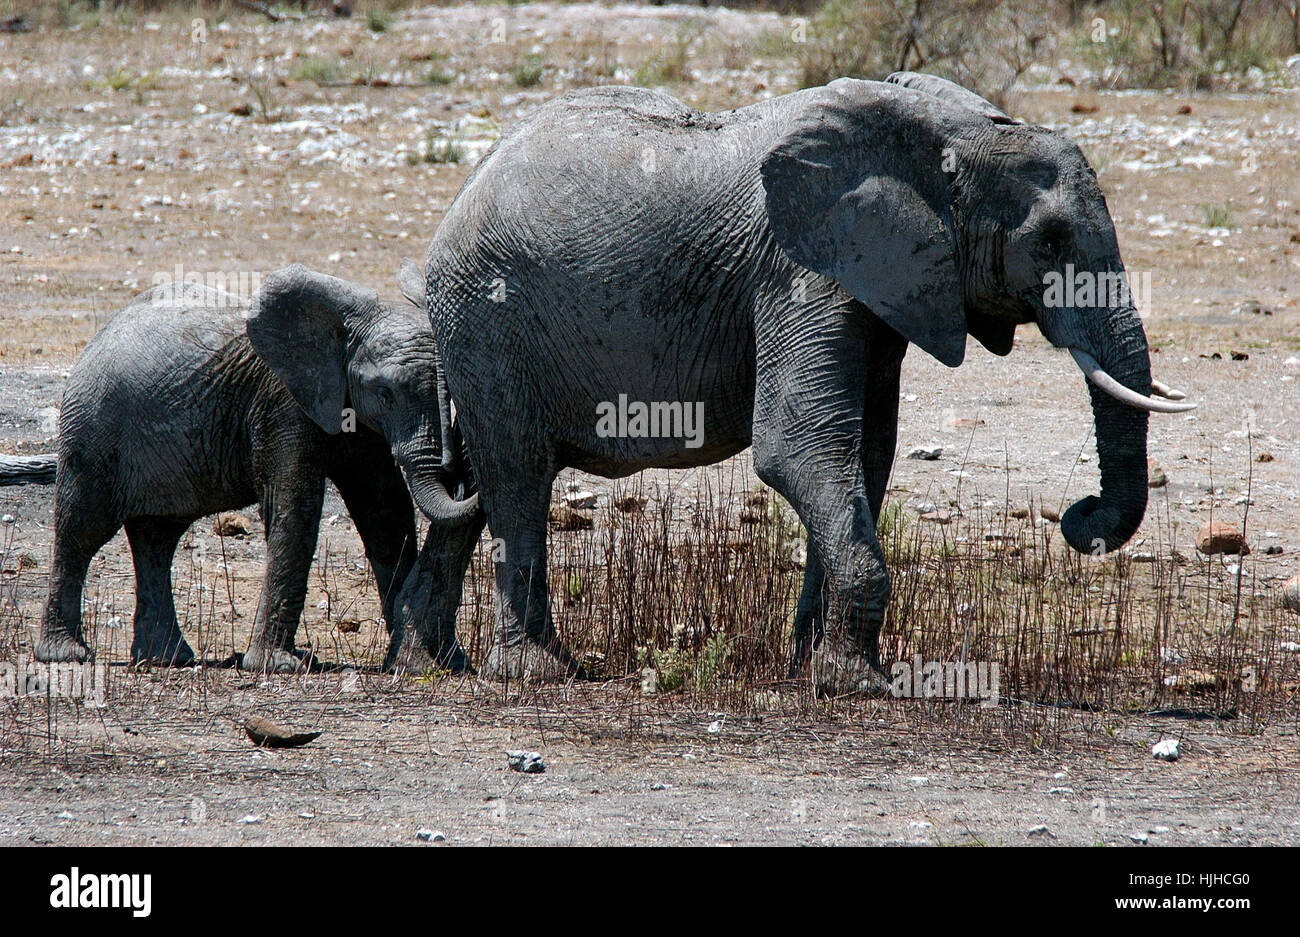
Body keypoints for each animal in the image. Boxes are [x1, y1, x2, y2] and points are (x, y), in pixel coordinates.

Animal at [33, 263, 478, 673]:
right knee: (82, 529)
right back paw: (66, 655)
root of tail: (96, 339)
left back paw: (167, 658)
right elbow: (295, 506)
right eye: (384, 392)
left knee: (156, 539)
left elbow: (384, 510)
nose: (462, 464)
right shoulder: (283, 401)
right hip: (92, 429)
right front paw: (278, 666)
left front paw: (428, 662)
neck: (345, 327)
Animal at [415, 72, 1193, 693]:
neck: (946, 133)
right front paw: (858, 685)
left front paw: (816, 670)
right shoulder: (802, 272)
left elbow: (864, 458)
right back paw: (537, 673)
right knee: (517, 473)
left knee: (480, 487)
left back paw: (445, 664)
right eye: (1052, 241)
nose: (1079, 516)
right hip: (486, 315)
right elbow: (800, 448)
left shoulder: (879, 285)